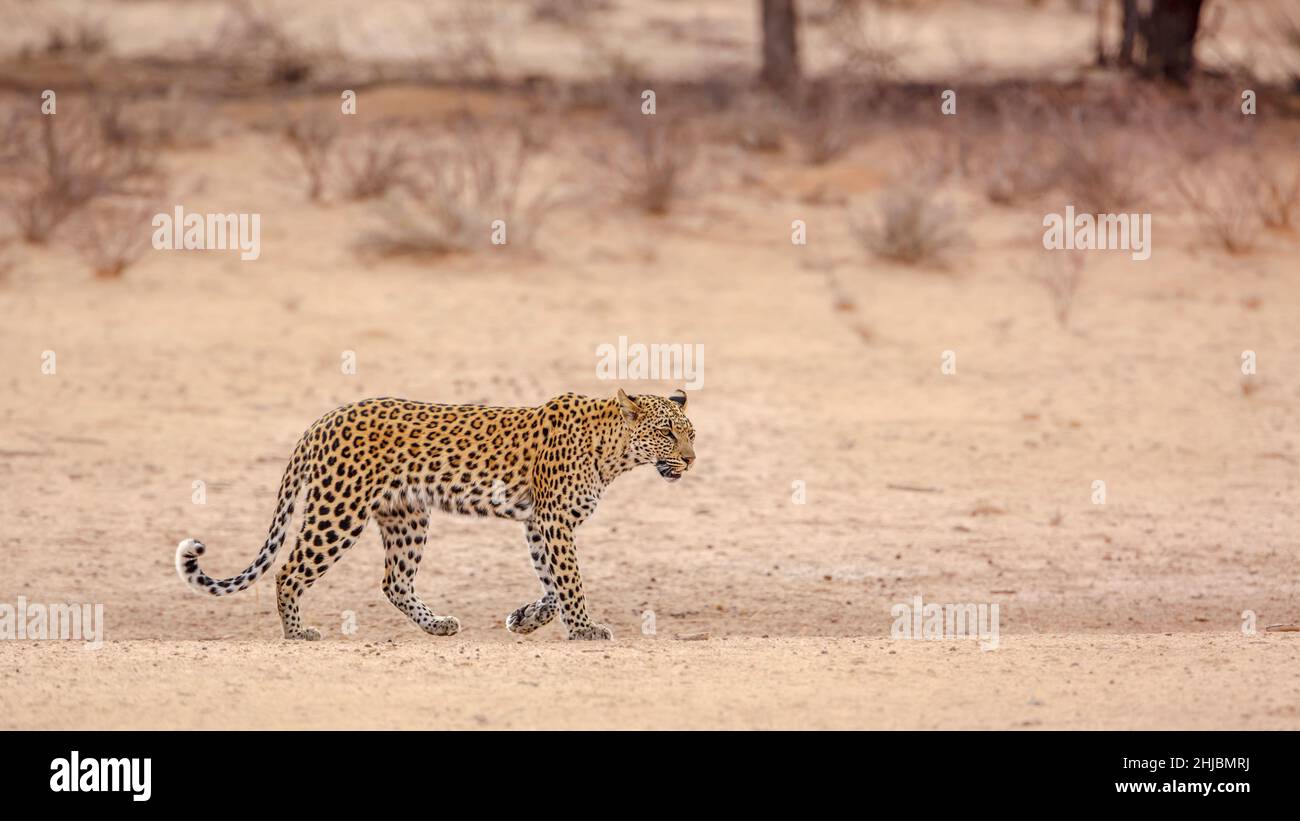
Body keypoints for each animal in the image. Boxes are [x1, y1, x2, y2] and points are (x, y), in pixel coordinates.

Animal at [174, 388, 695, 641]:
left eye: (690, 433)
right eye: (667, 432)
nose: (691, 460)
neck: (615, 452)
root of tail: (322, 421)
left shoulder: (538, 522)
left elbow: (551, 581)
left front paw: (526, 619)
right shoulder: (552, 520)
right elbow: (569, 578)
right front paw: (585, 628)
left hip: (406, 515)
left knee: (394, 581)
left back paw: (437, 624)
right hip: (339, 510)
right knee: (288, 571)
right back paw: (297, 632)